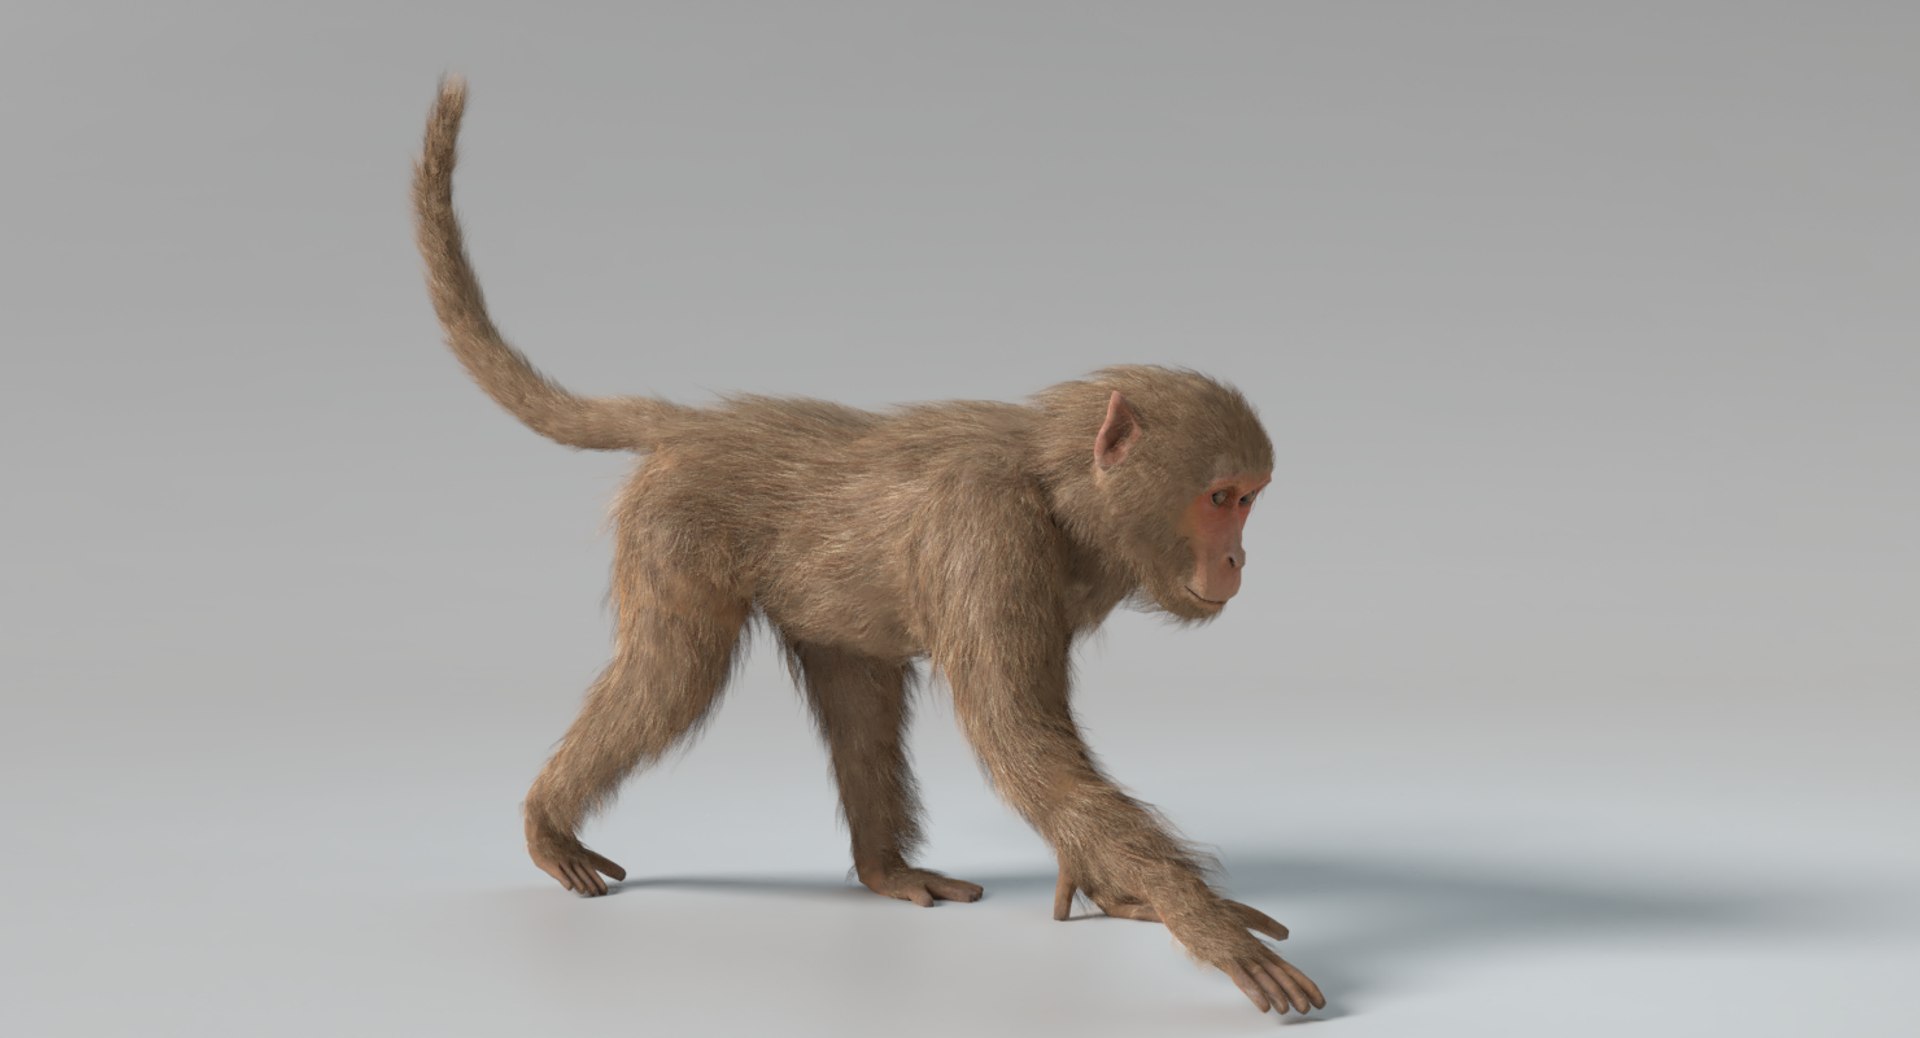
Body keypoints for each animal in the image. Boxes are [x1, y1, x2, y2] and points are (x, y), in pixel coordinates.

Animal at [411, 77, 1325, 1017]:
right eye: (1222, 500)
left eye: (1249, 501)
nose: (1238, 559)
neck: (1054, 485)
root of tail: (701, 425)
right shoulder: (986, 530)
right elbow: (1019, 738)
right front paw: (1206, 925)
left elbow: (1041, 746)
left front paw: (1117, 890)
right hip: (675, 520)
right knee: (671, 676)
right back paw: (550, 820)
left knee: (857, 690)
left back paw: (884, 870)